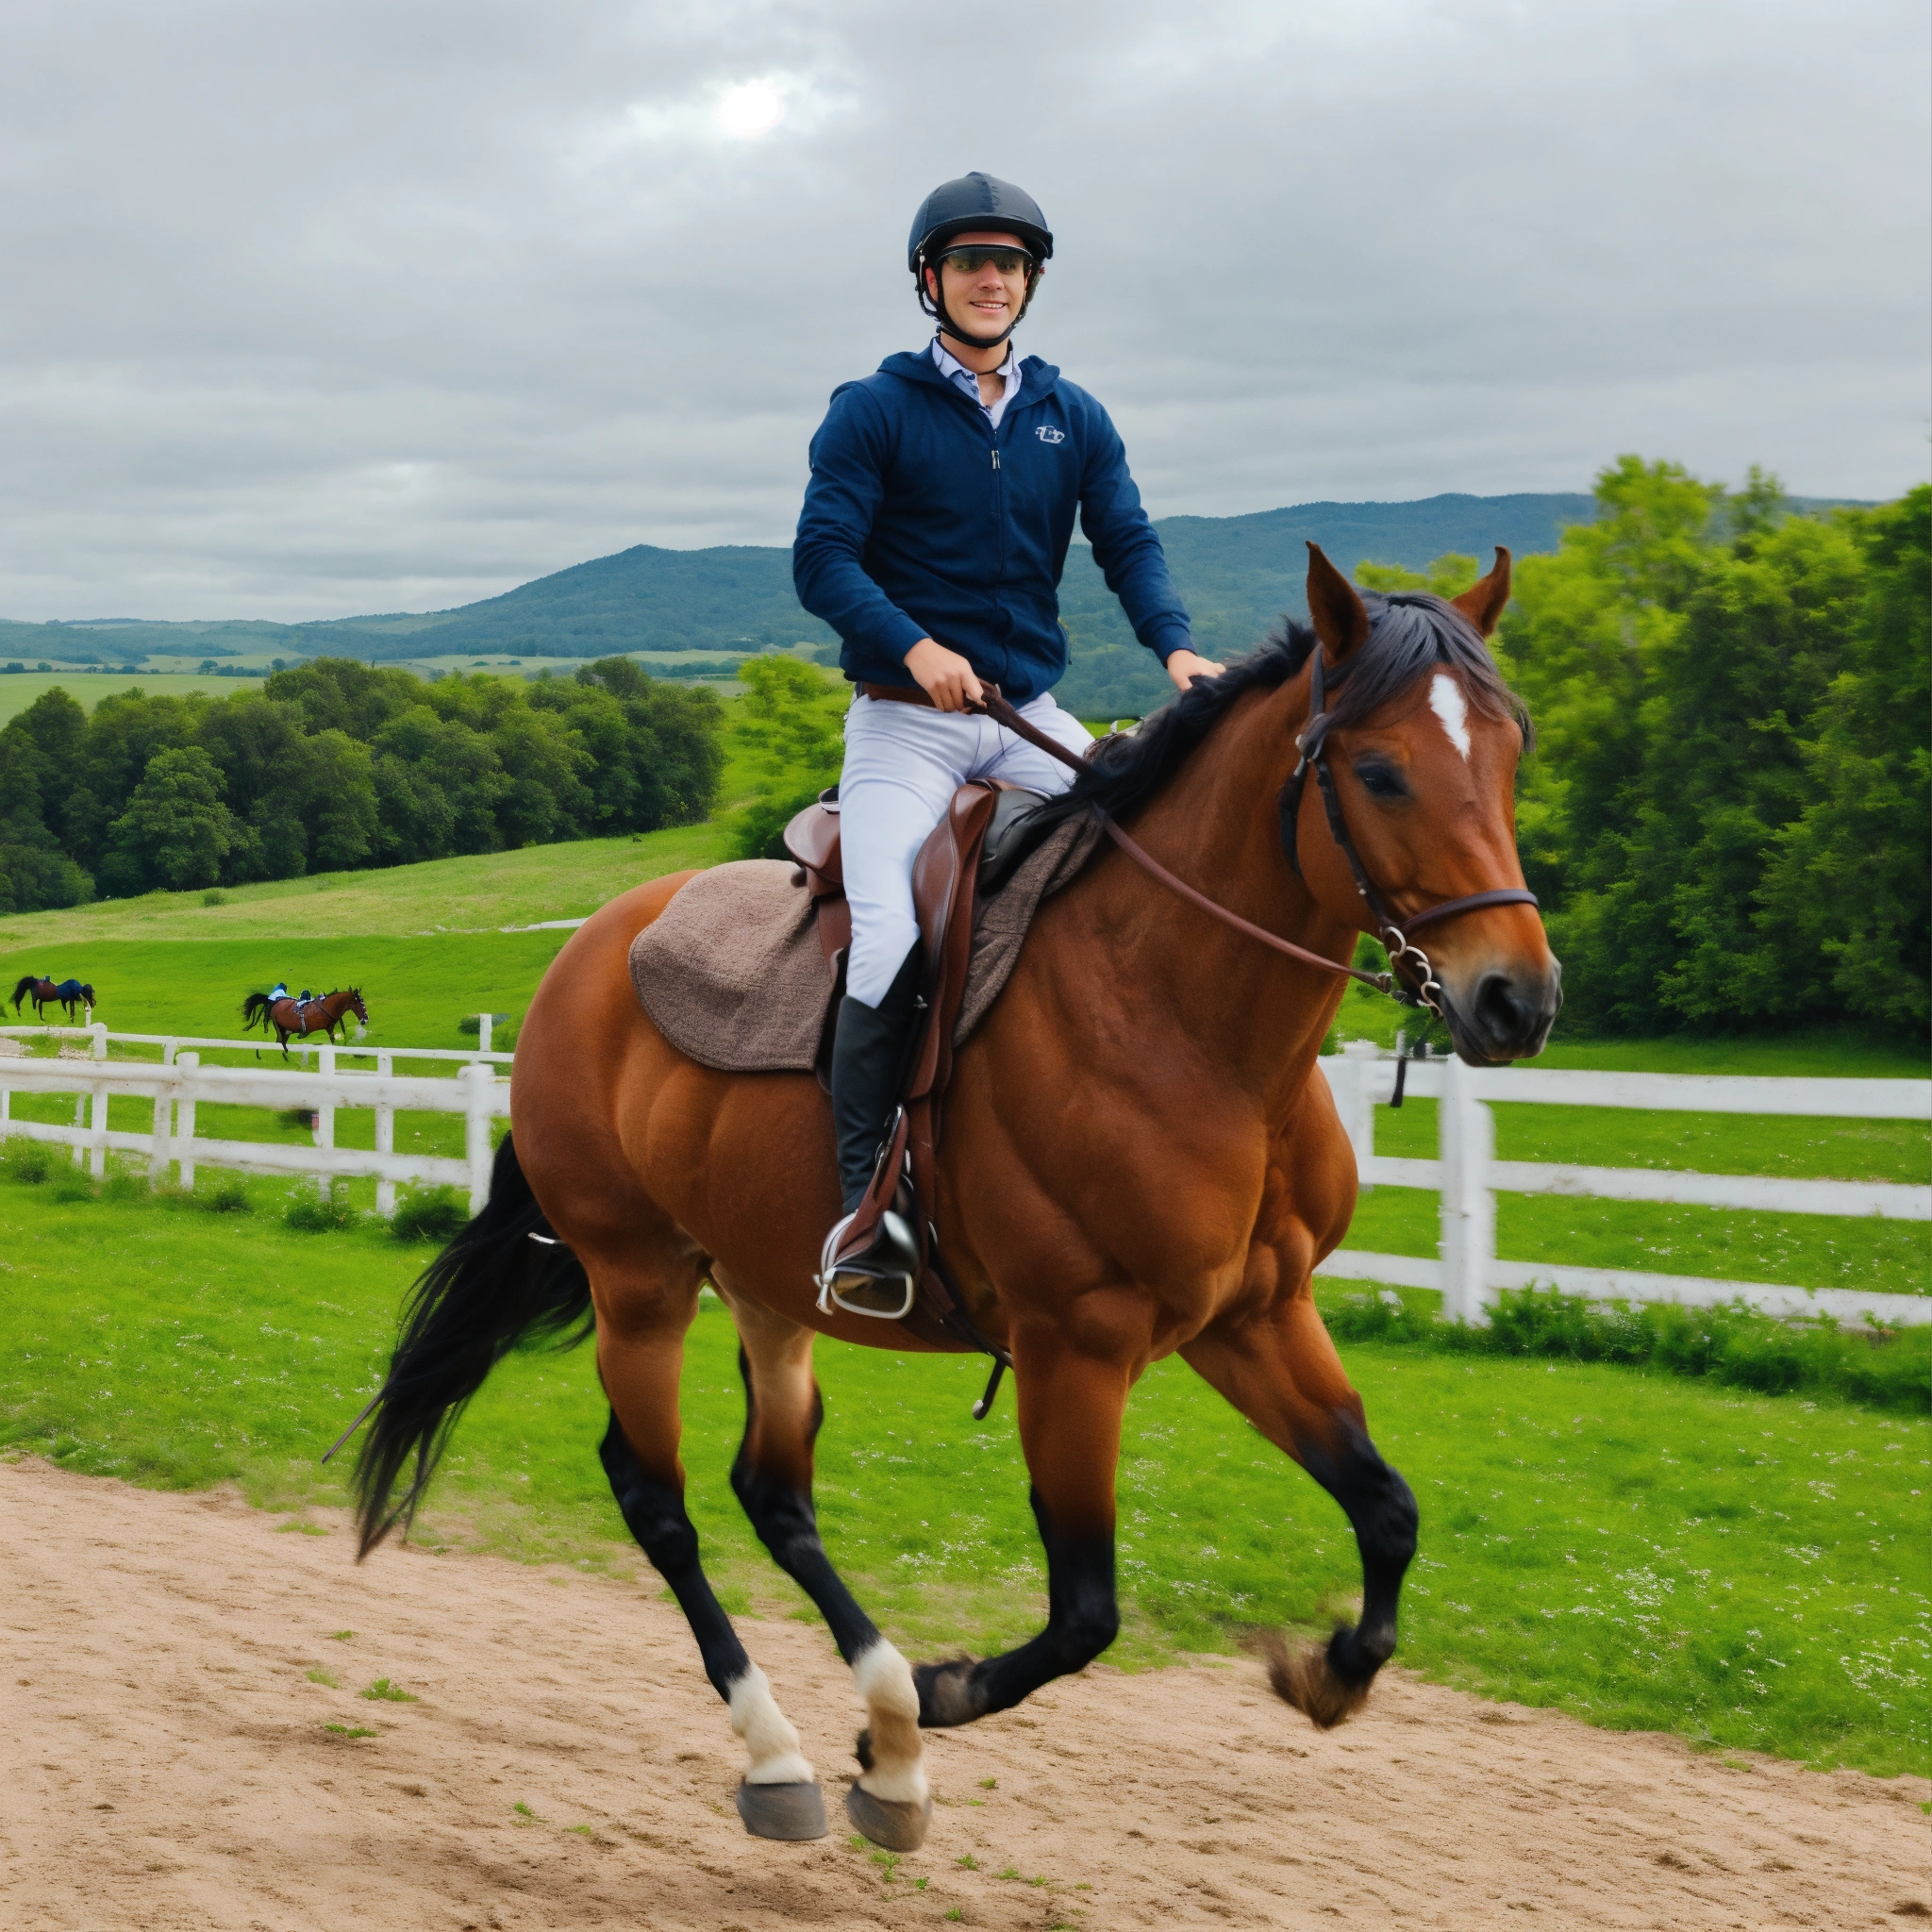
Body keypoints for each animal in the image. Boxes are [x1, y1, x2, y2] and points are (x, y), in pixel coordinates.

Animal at [240, 986, 369, 1056]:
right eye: (360, 1003)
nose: (365, 1020)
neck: (327, 1006)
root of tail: (274, 1002)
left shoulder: (331, 1027)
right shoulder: (327, 1028)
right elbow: (332, 1040)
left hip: (285, 1029)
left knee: (281, 1042)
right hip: (278, 1026)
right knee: (281, 1042)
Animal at [350, 547, 1561, 1854]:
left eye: (1511, 752)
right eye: (1381, 770)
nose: (1517, 999)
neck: (1179, 1018)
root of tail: (583, 954)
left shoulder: (1254, 1314)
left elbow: (1385, 1508)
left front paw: (1328, 1669)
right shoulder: (1075, 1343)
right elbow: (1085, 1608)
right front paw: (946, 1688)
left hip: (767, 1289)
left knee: (771, 1492)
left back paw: (883, 1733)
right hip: (640, 1282)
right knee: (656, 1497)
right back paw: (790, 1748)